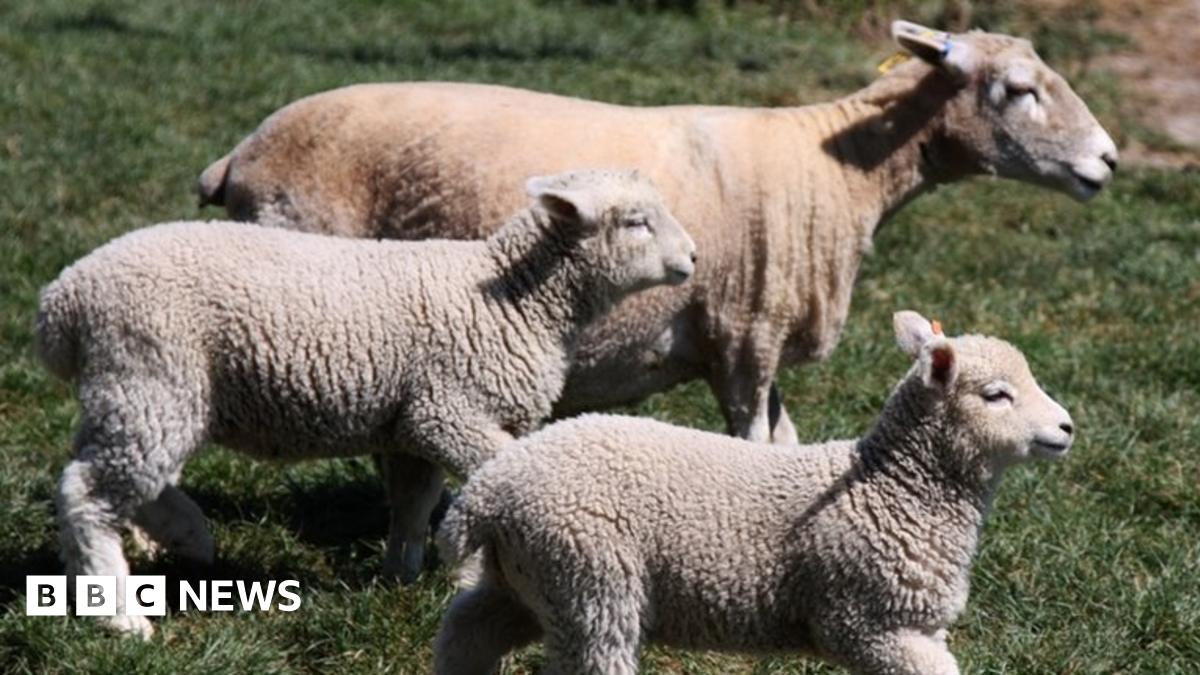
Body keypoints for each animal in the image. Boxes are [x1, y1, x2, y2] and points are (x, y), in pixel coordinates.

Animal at [36, 168, 696, 638]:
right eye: (635, 222)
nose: (693, 258)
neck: (514, 298)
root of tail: (64, 300)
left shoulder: (413, 423)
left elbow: (413, 503)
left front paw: (402, 575)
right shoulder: (449, 411)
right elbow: (488, 476)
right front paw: (468, 571)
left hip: (135, 390)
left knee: (117, 471)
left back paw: (185, 535)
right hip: (151, 375)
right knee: (88, 491)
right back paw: (119, 613)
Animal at [197, 20, 1116, 447]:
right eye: (1018, 89)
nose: (1107, 159)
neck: (839, 168)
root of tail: (239, 155)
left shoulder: (751, 339)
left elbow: (782, 438)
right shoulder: (746, 333)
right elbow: (753, 441)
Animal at [434, 311, 1075, 675]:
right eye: (996, 395)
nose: (1067, 427)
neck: (893, 486)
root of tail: (489, 492)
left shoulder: (910, 626)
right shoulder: (868, 624)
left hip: (531, 581)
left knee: (467, 632)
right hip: (589, 580)